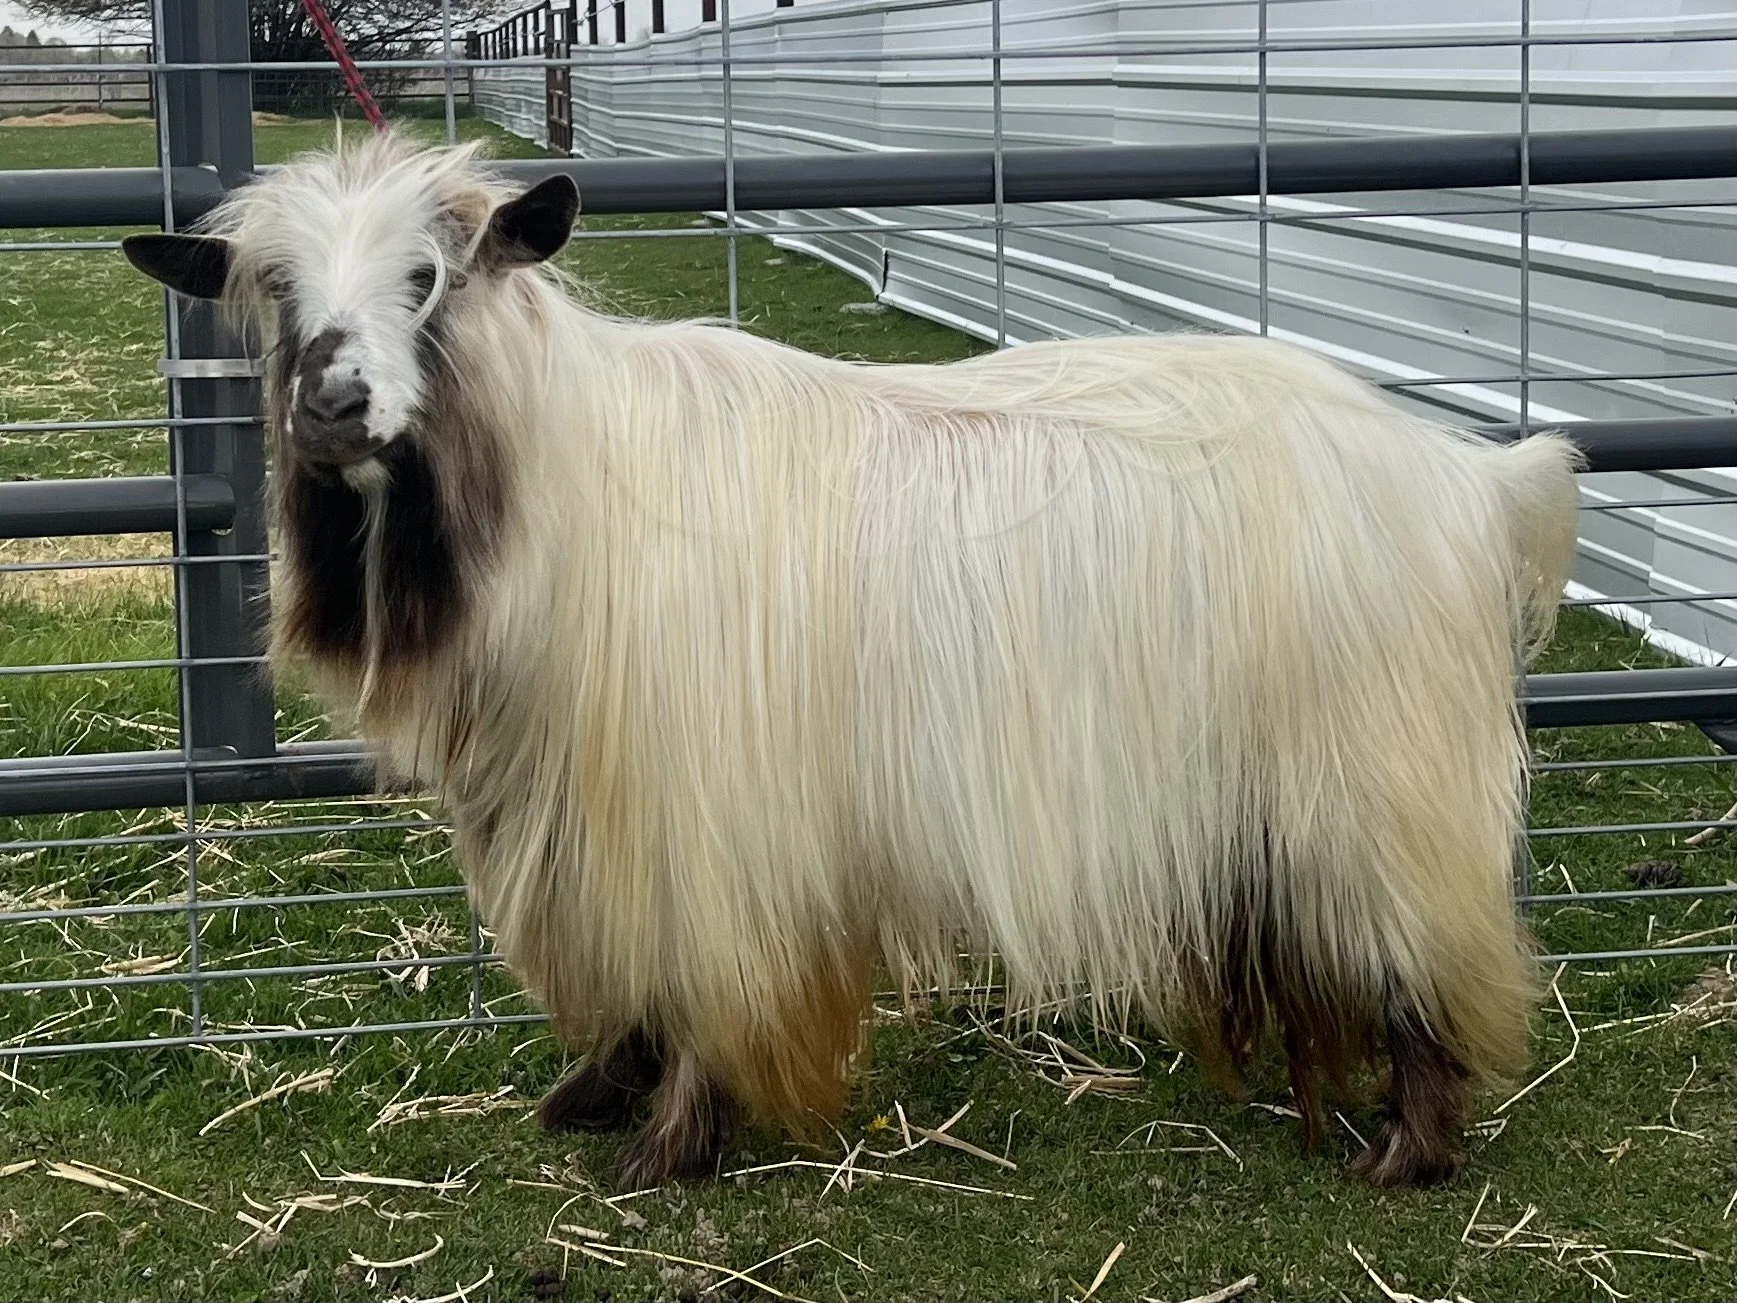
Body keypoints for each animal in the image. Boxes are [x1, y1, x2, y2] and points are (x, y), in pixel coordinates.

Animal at [123, 132, 1582, 1190]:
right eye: (274, 293)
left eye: (431, 275)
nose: (331, 404)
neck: (565, 481)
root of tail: (1470, 483)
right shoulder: (584, 795)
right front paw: (594, 1094)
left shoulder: (703, 810)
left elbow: (698, 972)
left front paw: (669, 1145)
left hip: (1376, 783)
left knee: (1430, 958)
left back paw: (1409, 1149)